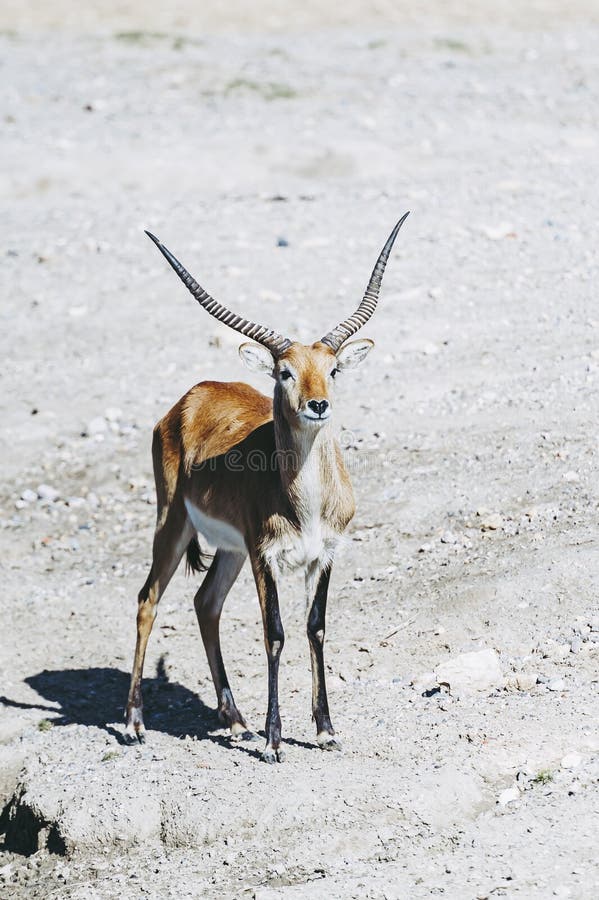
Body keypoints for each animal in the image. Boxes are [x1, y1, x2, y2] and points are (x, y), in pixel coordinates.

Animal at [125, 212, 409, 762]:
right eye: (284, 371)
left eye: (333, 368)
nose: (318, 405)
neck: (308, 504)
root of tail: (191, 397)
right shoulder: (266, 556)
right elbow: (274, 633)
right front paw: (276, 740)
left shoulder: (325, 554)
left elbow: (315, 627)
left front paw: (325, 730)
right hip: (173, 524)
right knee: (148, 600)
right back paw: (134, 724)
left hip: (229, 550)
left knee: (205, 603)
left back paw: (235, 721)